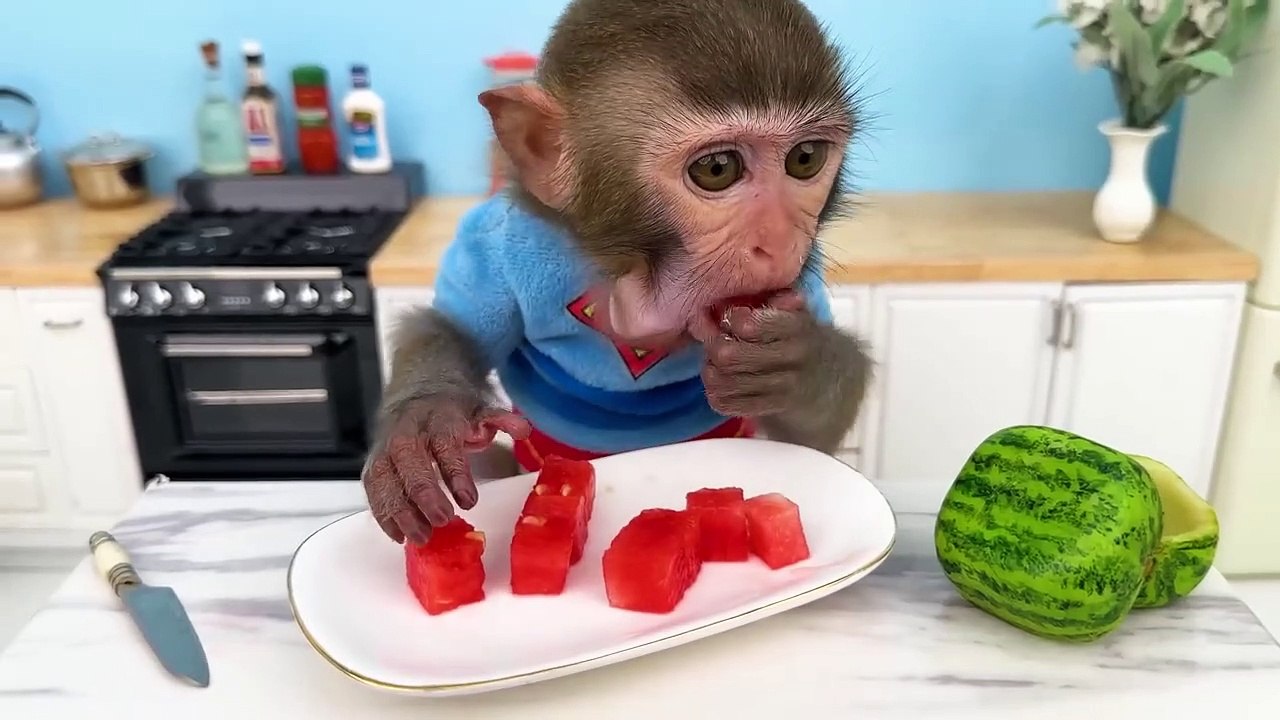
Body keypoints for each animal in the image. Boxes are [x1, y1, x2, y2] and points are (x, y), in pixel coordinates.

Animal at [363, 0, 874, 545]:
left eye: (805, 158)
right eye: (717, 169)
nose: (779, 244)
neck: (622, 270)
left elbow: (809, 441)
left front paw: (798, 364)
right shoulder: (500, 242)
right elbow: (451, 329)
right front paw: (424, 416)